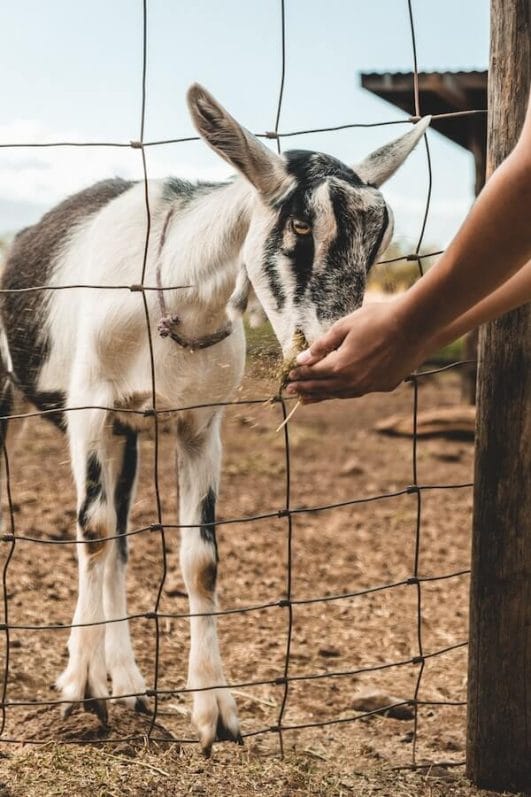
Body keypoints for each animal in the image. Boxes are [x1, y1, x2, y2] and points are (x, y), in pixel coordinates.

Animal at [0, 85, 429, 753]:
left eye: (377, 243)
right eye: (300, 224)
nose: (334, 346)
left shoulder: (200, 426)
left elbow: (198, 560)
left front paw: (215, 713)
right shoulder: (90, 407)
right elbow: (91, 530)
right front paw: (80, 688)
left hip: (128, 434)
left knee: (120, 542)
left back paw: (128, 682)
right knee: (97, 532)